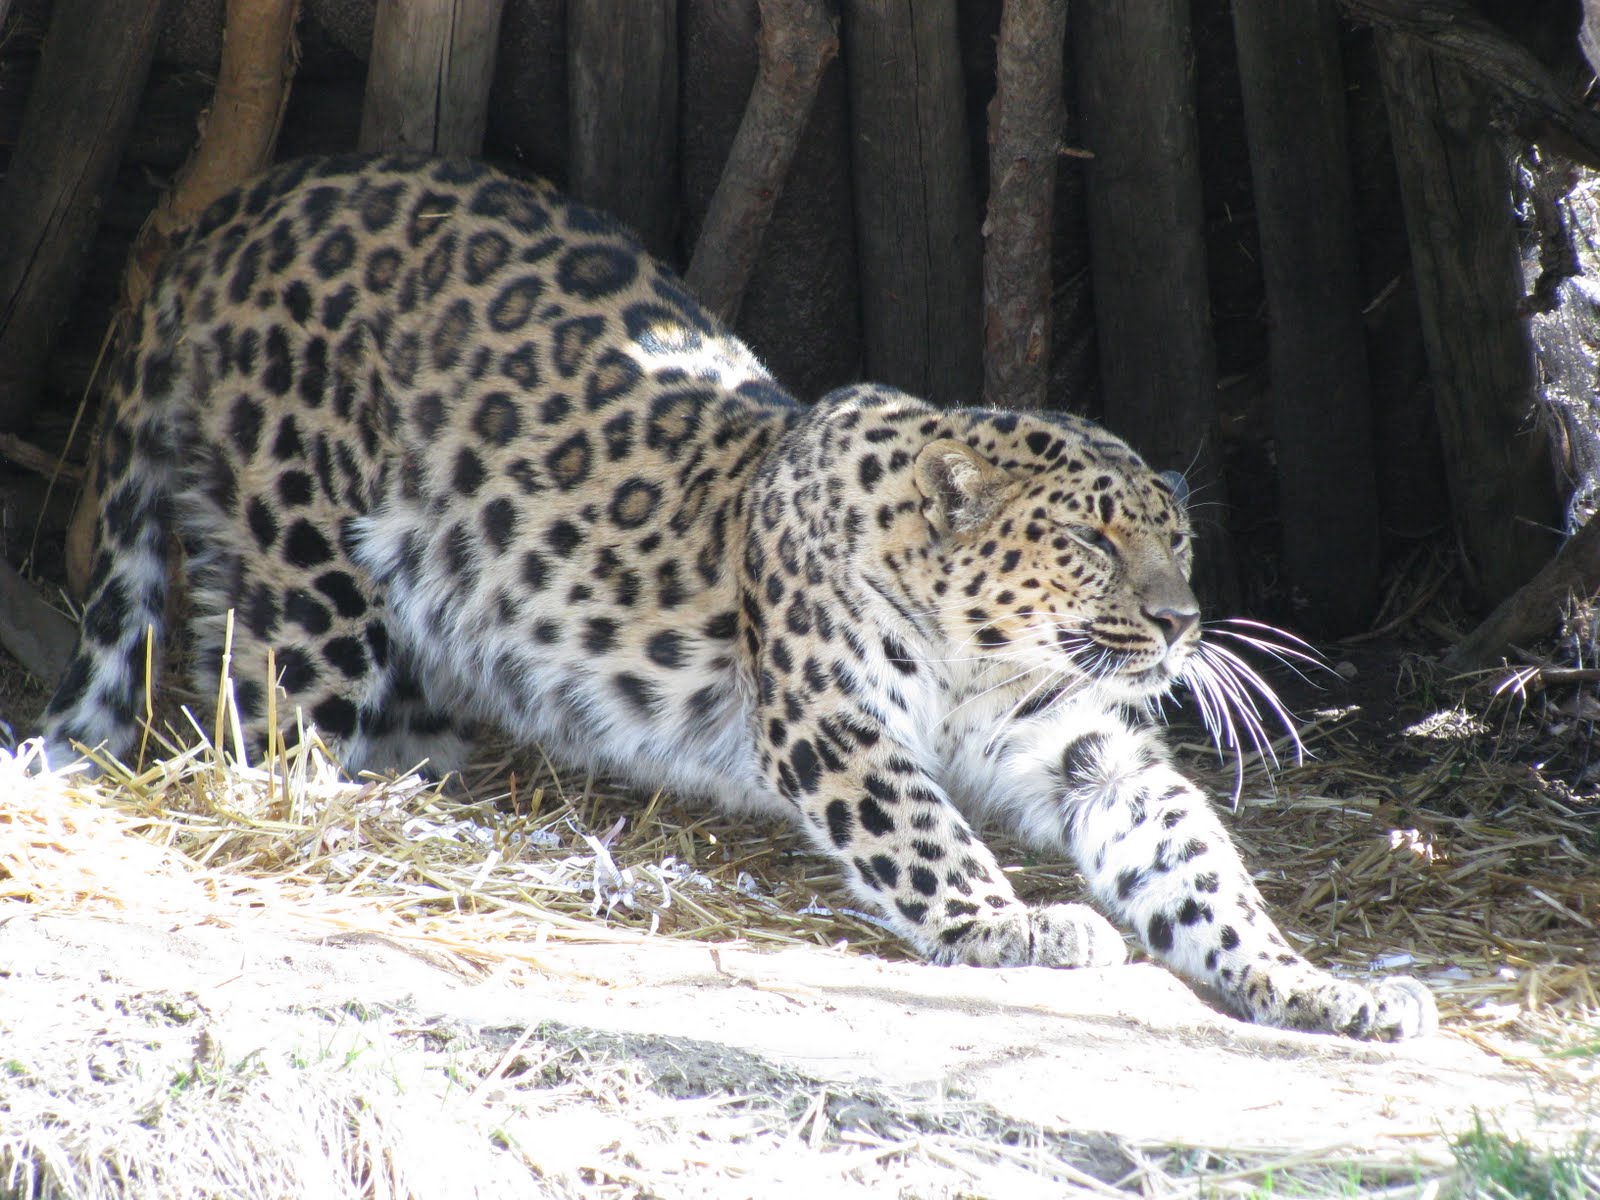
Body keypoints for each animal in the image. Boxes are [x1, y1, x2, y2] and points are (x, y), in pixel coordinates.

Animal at [41, 153, 1436, 1040]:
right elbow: (925, 838)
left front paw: (1327, 989)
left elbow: (1200, 873)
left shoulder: (1093, 756)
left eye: (1178, 541)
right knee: (267, 725)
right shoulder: (836, 723)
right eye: (1092, 540)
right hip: (309, 551)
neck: (991, 658)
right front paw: (1015, 930)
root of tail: (239, 207)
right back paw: (367, 822)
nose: (1181, 624)